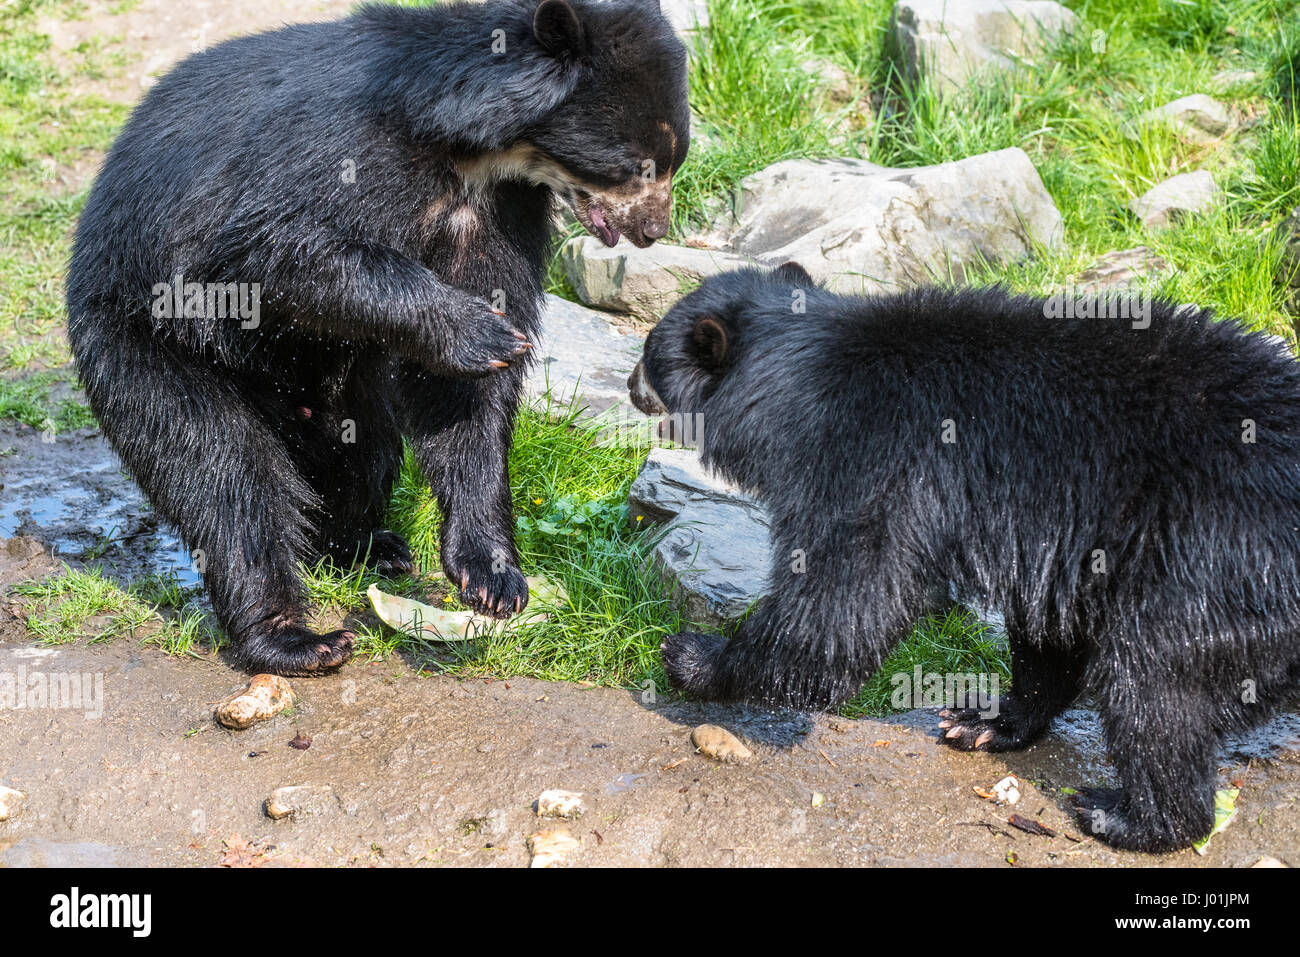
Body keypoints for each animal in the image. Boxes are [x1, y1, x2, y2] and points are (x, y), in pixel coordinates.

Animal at [66, 0, 690, 676]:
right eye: (638, 165)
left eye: (672, 160)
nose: (654, 231)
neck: (471, 151)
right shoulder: (328, 154)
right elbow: (259, 252)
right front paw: (482, 334)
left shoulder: (500, 206)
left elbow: (466, 392)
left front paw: (491, 578)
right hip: (146, 346)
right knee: (225, 479)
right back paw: (295, 638)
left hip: (343, 389)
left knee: (362, 448)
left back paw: (366, 547)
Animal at [627, 264, 1300, 852]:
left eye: (646, 356)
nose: (631, 389)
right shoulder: (1057, 540)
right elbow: (1047, 622)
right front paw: (987, 717)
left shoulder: (869, 457)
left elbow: (839, 605)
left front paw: (690, 656)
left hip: (1212, 565)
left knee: (1155, 683)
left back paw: (1123, 816)